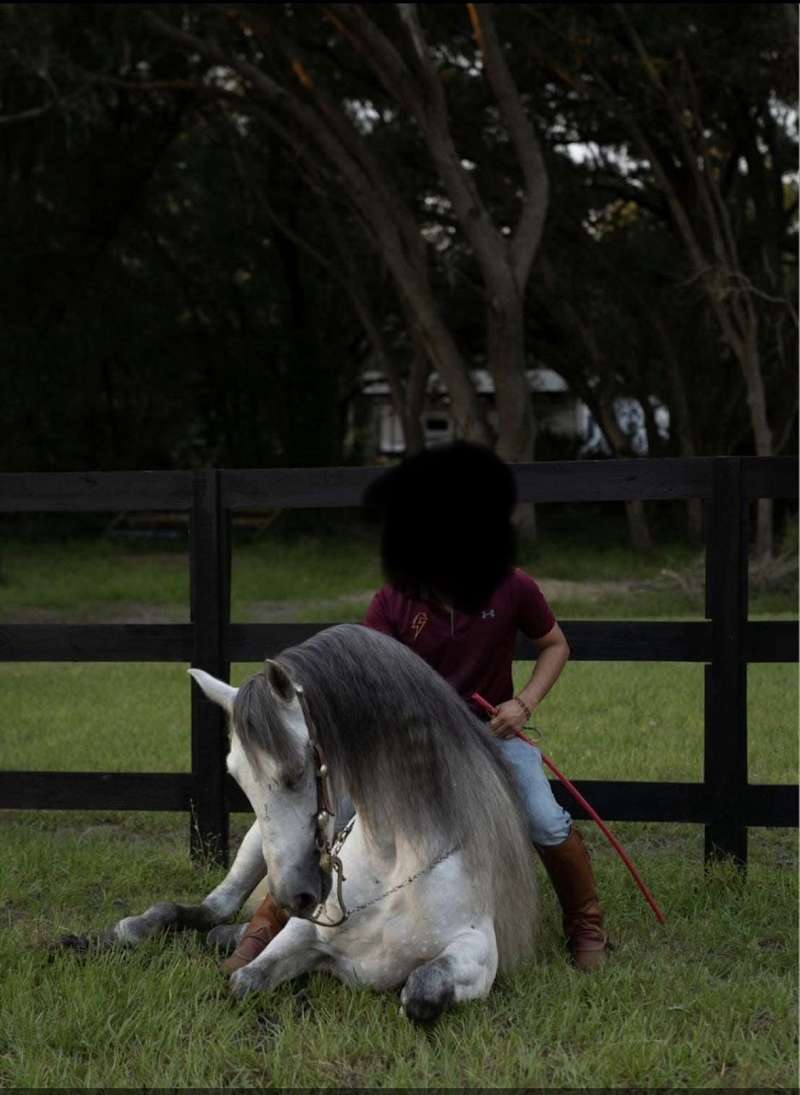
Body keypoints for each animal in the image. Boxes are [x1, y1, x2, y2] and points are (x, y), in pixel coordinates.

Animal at [70, 624, 537, 1023]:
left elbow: (421, 991)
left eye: (297, 772)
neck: (395, 865)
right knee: (213, 906)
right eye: (236, 776)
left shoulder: (476, 949)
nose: (294, 896)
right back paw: (135, 928)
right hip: (256, 848)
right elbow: (246, 981)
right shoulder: (302, 932)